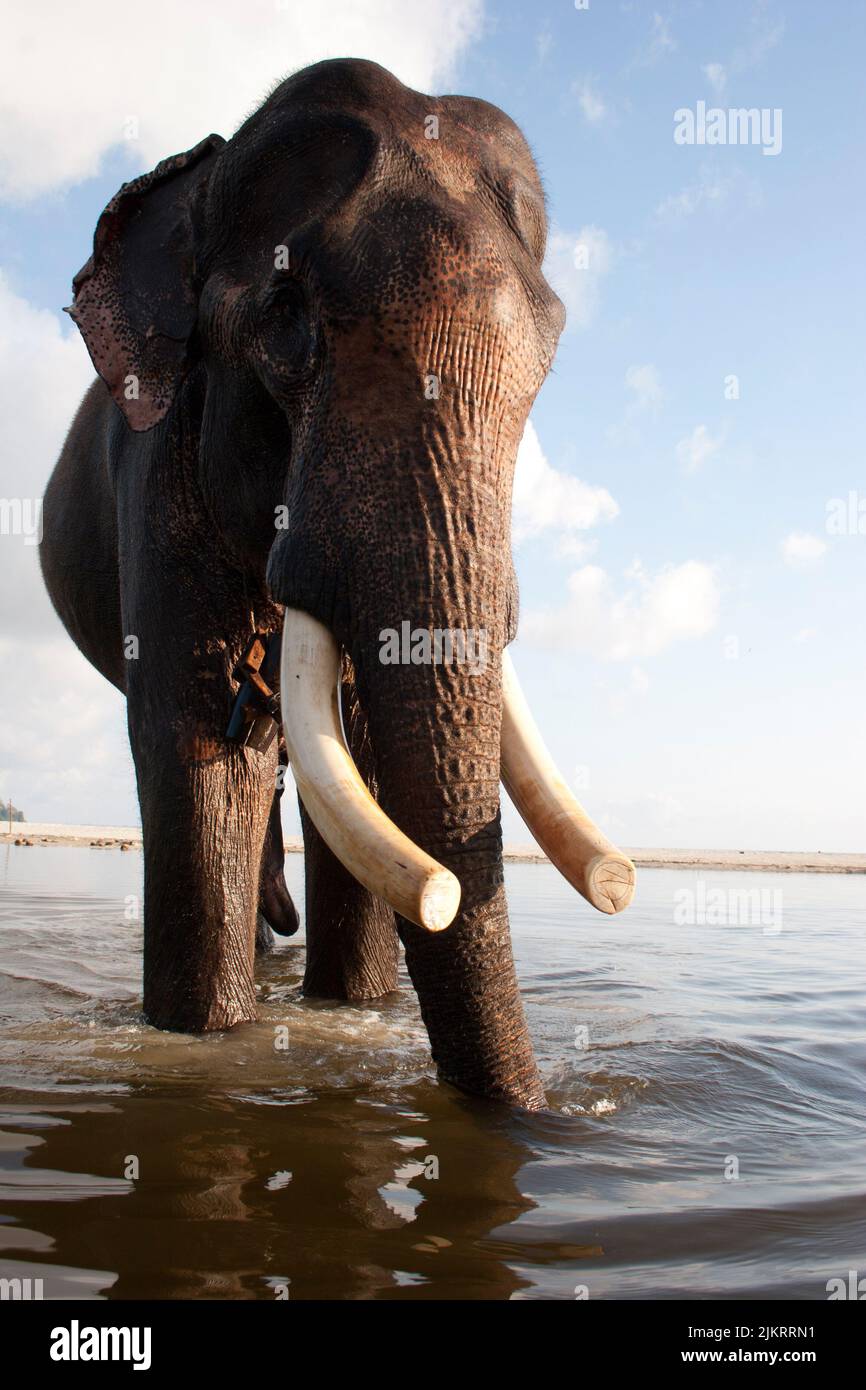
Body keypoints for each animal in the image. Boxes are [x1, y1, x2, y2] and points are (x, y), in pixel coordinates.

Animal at [41, 58, 634, 1110]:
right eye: (286, 324)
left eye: (551, 360)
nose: (546, 1118)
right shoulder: (159, 465)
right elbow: (196, 748)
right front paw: (209, 1042)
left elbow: (359, 753)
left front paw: (354, 1015)